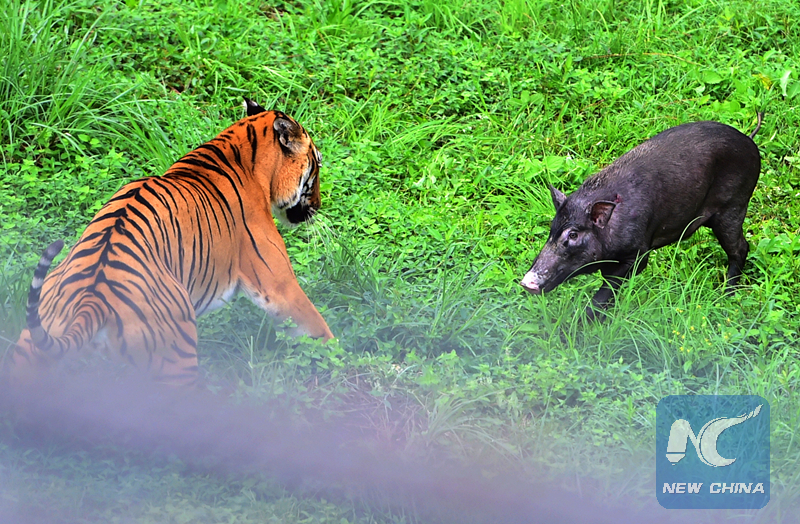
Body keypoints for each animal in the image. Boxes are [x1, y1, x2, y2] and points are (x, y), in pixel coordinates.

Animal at [10, 98, 334, 385]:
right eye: (317, 165)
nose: (318, 206)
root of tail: (92, 302)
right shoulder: (276, 282)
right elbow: (312, 321)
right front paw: (336, 356)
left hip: (31, 347)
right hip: (177, 356)